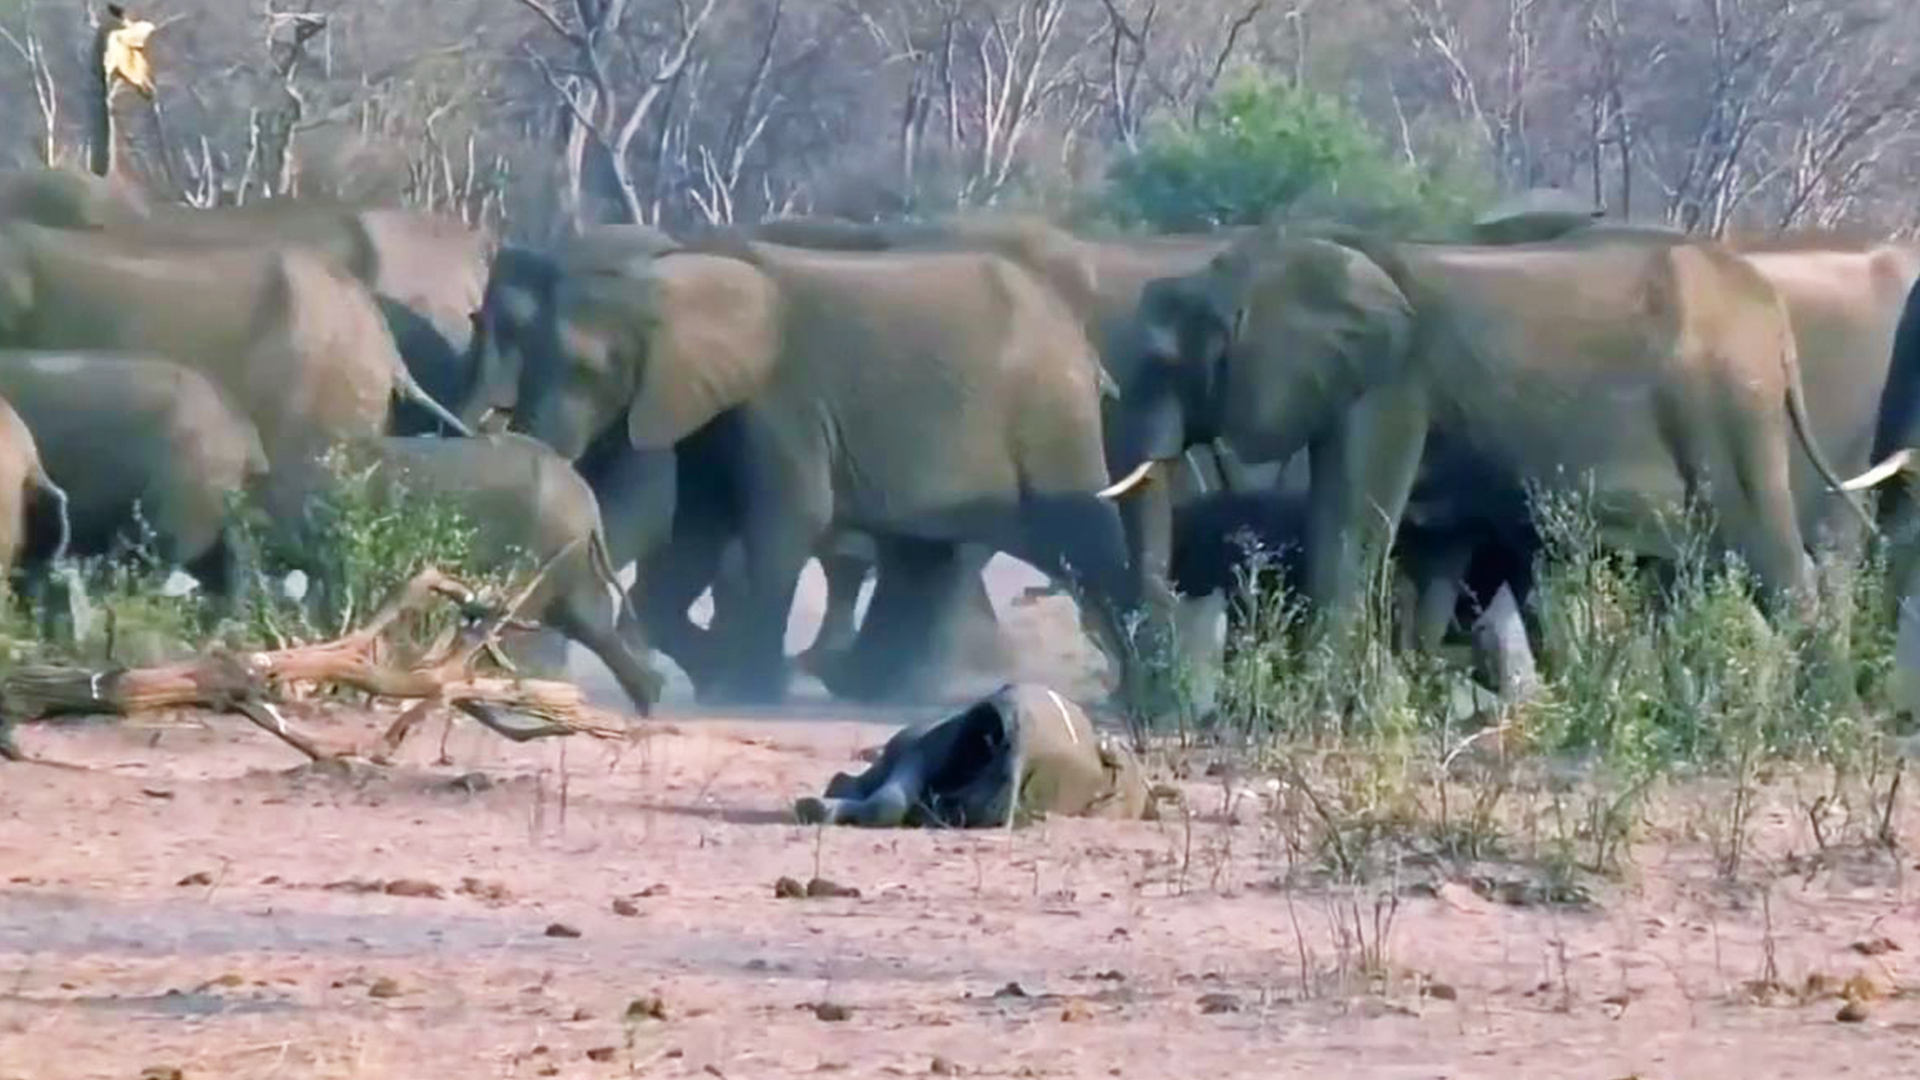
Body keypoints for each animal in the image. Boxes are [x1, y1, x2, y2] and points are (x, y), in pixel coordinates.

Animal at [511, 239, 1141, 703]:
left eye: (586, 370)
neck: (670, 277)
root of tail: (1082, 344)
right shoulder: (709, 411)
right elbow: (693, 535)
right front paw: (721, 675)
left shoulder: (782, 401)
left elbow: (786, 522)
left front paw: (752, 692)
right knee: (923, 558)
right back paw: (869, 688)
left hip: (1051, 417)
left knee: (1084, 541)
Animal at [1116, 226, 1872, 640]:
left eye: (1165, 361)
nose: (1179, 602)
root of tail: (1775, 318)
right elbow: (1431, 554)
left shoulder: (1391, 385)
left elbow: (1350, 524)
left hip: (1727, 407)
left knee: (1771, 556)